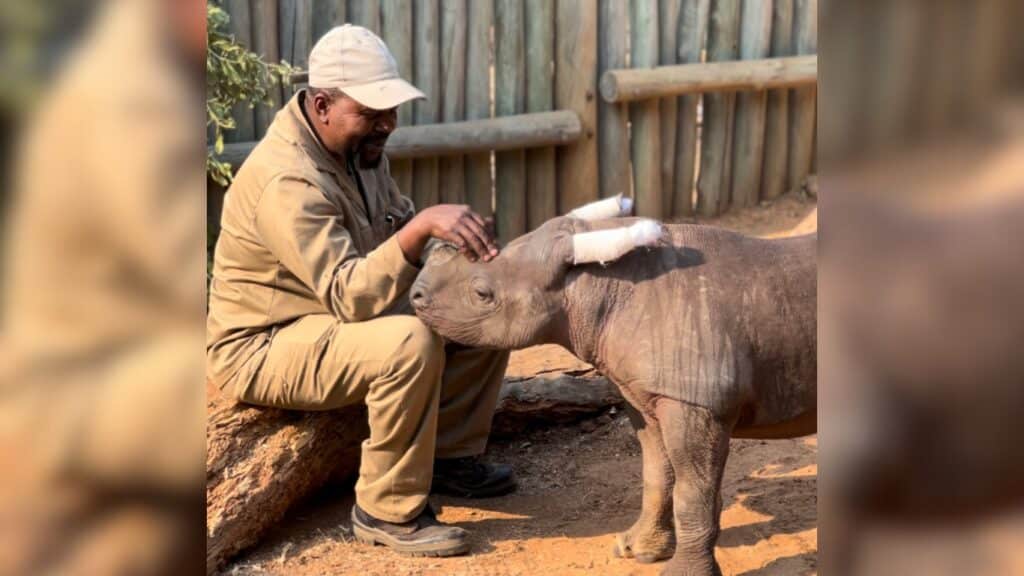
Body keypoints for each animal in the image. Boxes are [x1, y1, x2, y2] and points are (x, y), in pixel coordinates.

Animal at [409, 196, 817, 576]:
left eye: (482, 294)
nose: (415, 296)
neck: (596, 286)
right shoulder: (647, 394)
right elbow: (657, 473)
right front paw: (638, 550)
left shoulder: (695, 401)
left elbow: (692, 490)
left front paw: (679, 571)